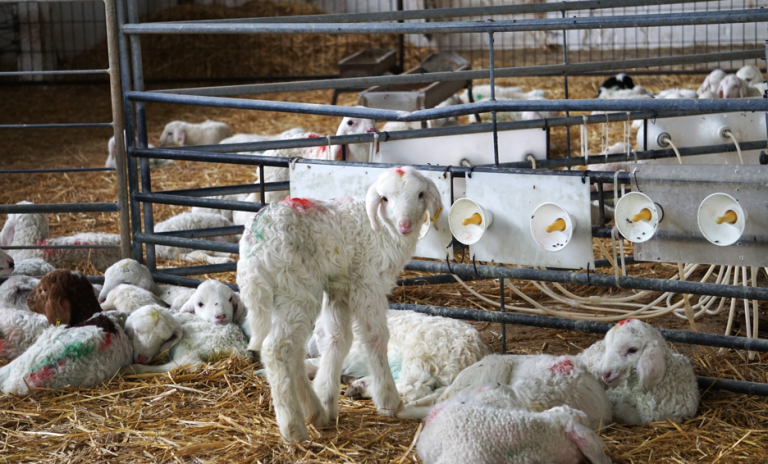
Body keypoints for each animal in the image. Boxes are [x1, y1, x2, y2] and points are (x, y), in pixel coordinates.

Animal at [237, 166, 442, 442]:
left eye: (420, 194)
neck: (381, 230)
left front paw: (327, 397)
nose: (405, 225)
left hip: (285, 293)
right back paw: (293, 427)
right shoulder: (367, 284)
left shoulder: (340, 288)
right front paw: (387, 400)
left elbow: (338, 339)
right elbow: (375, 337)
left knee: (293, 351)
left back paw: (314, 410)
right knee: (276, 349)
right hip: (297, 288)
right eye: (385, 198)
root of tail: (254, 246)